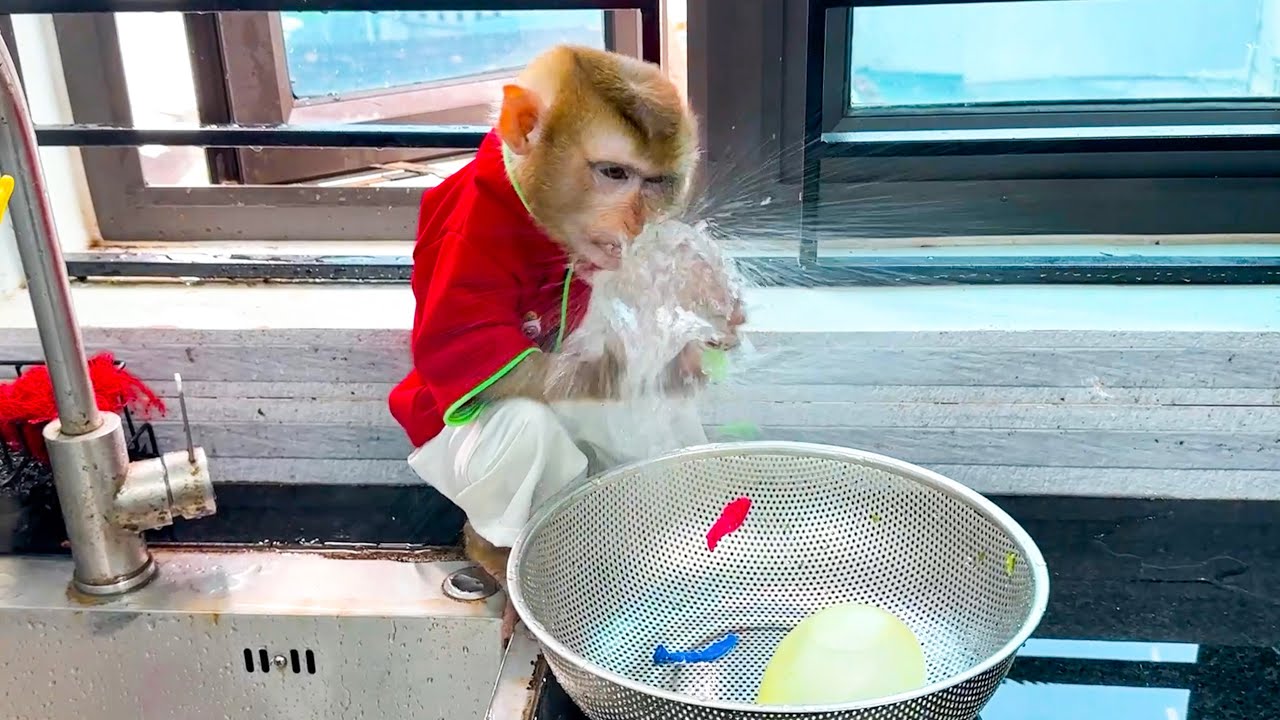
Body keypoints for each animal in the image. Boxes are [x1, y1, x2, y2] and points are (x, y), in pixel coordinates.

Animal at [387, 45, 743, 645]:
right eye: (614, 173)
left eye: (657, 182)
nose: (637, 220)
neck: (534, 220)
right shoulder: (465, 233)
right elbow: (477, 347)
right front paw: (637, 366)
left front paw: (700, 297)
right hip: (443, 459)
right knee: (526, 426)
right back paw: (496, 553)